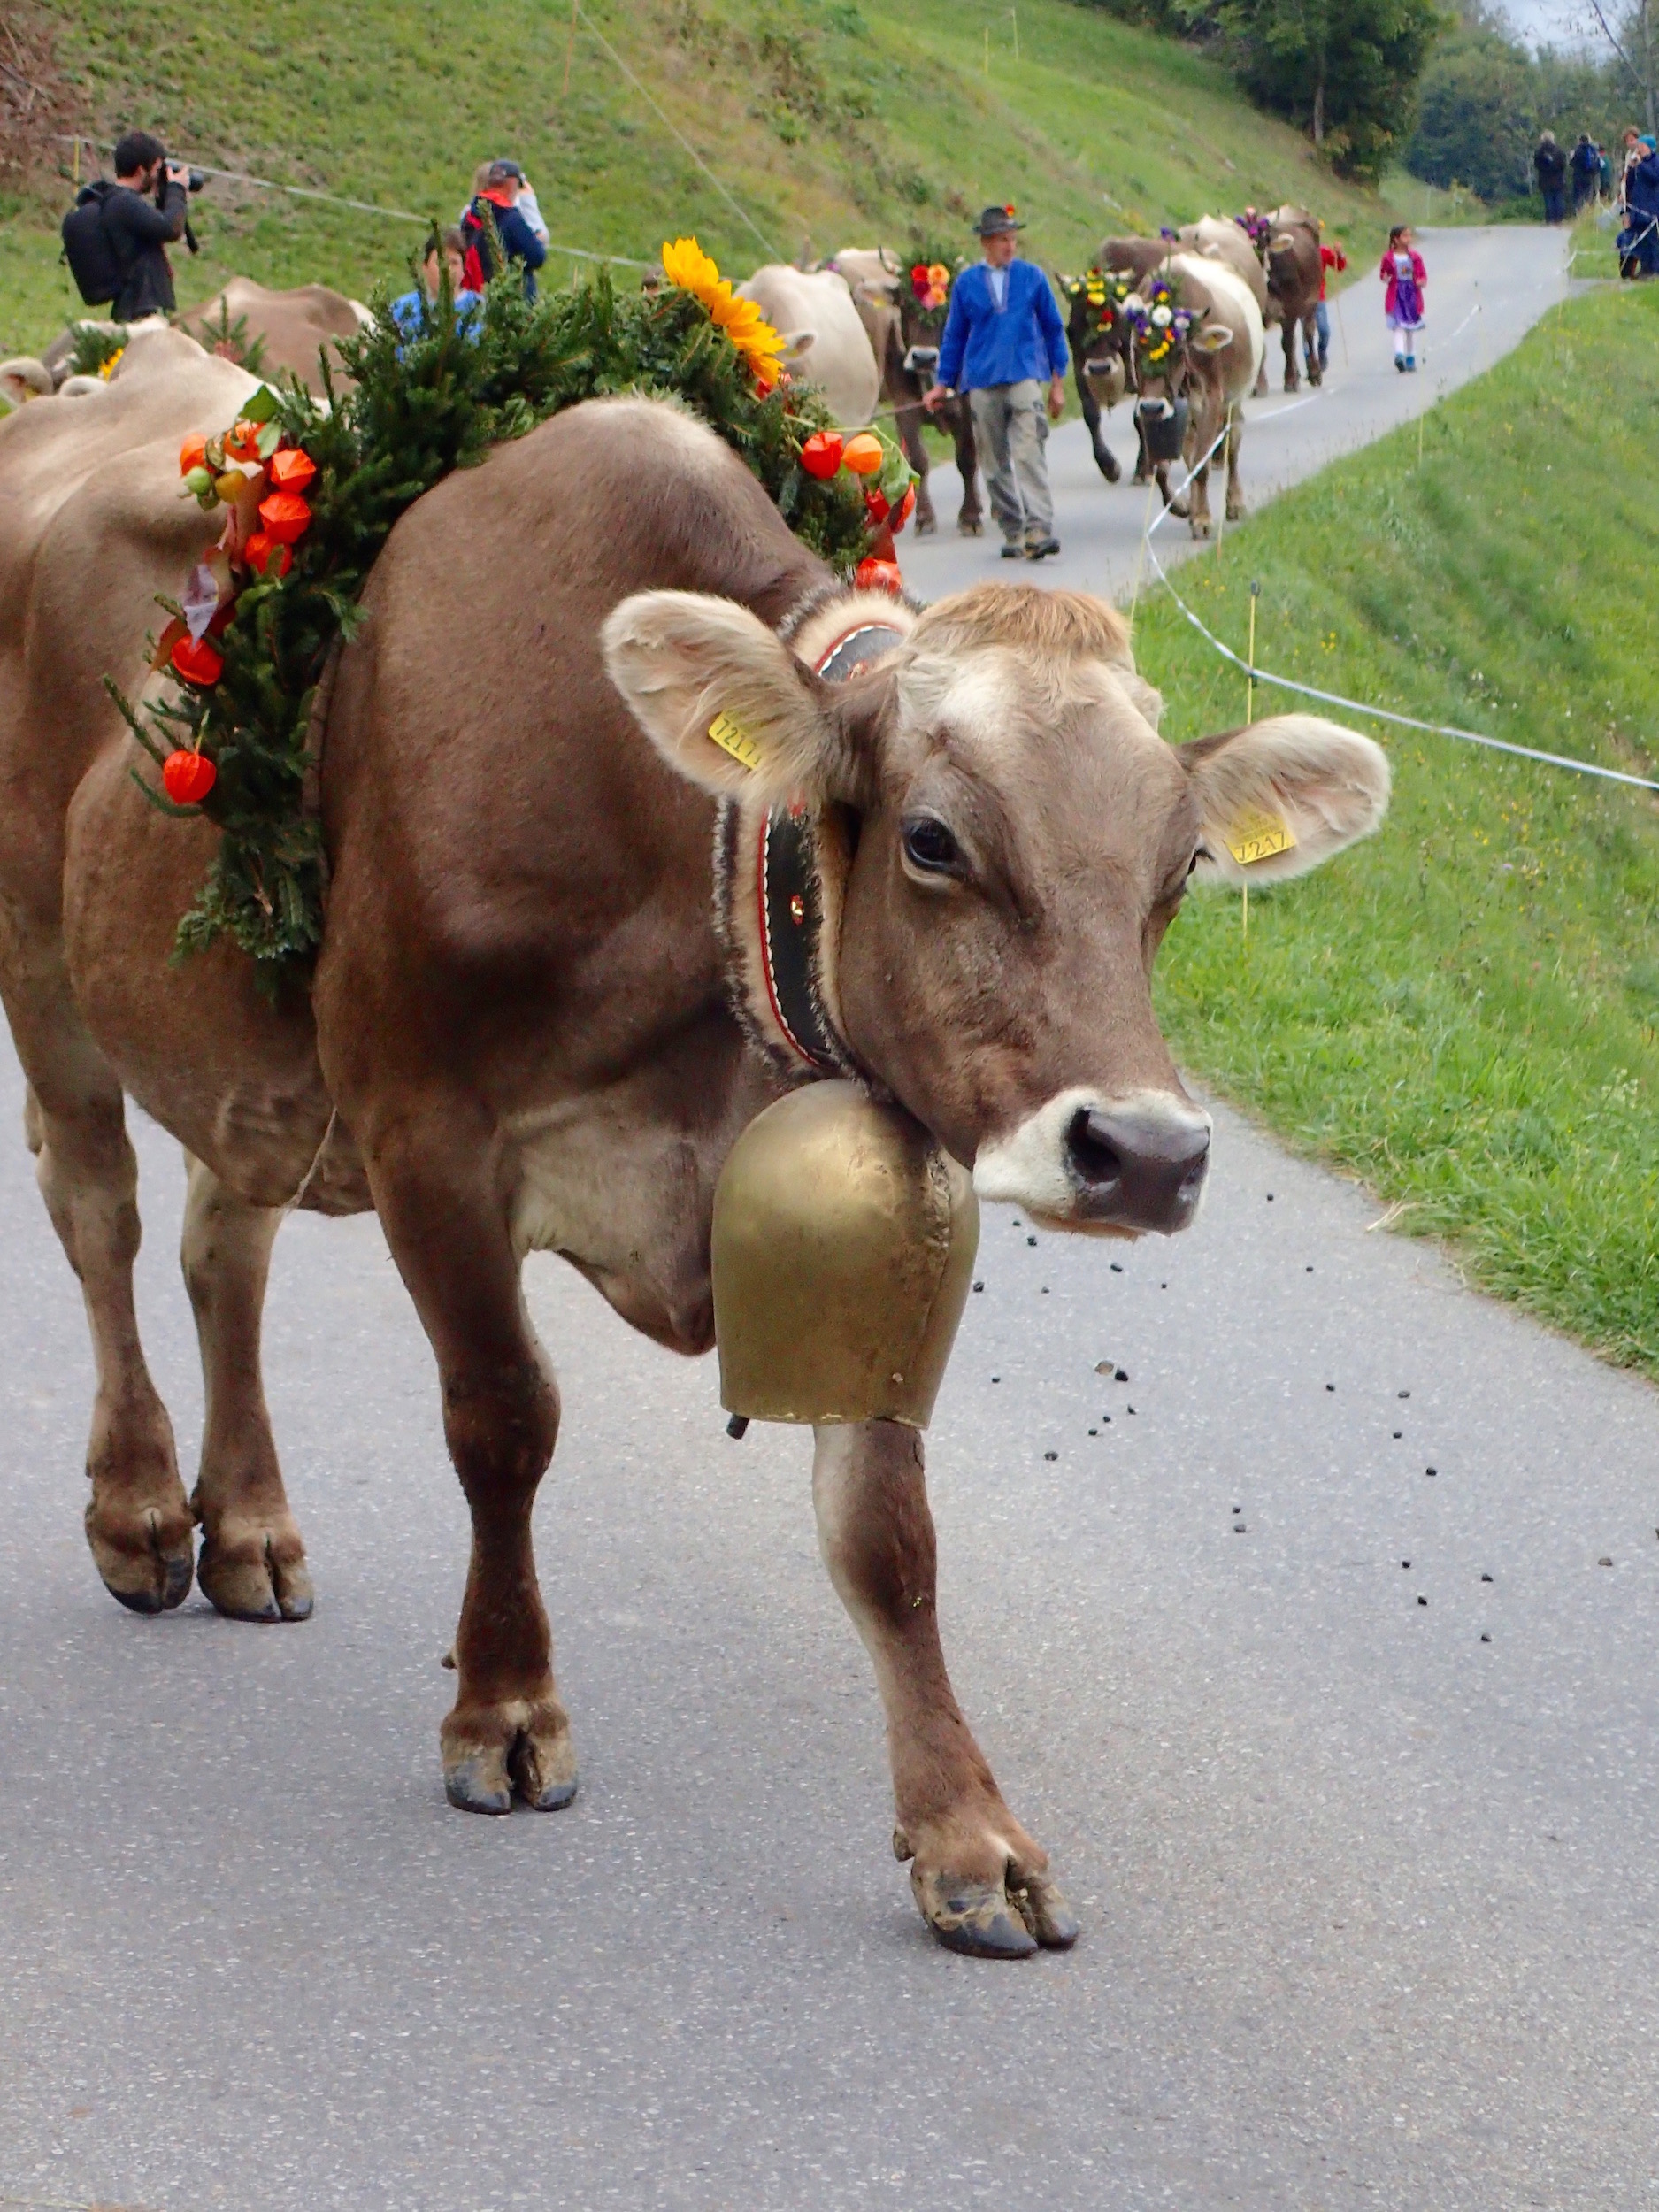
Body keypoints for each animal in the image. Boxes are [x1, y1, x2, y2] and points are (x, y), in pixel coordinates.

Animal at [0, 338, 1389, 1958]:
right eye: (931, 840)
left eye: (1178, 872)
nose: (1147, 1153)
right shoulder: (424, 1132)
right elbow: (503, 1419)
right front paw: (505, 1709)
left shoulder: (879, 1197)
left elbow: (886, 1529)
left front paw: (966, 1837)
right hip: (46, 963)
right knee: (100, 1216)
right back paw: (142, 1510)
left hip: (253, 1064)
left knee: (225, 1247)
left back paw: (249, 1530)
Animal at [828, 247, 982, 537]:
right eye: (906, 307)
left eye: (948, 308)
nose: (924, 358)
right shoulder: (904, 405)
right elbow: (918, 460)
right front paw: (924, 518)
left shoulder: (967, 406)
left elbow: (967, 457)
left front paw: (970, 517)